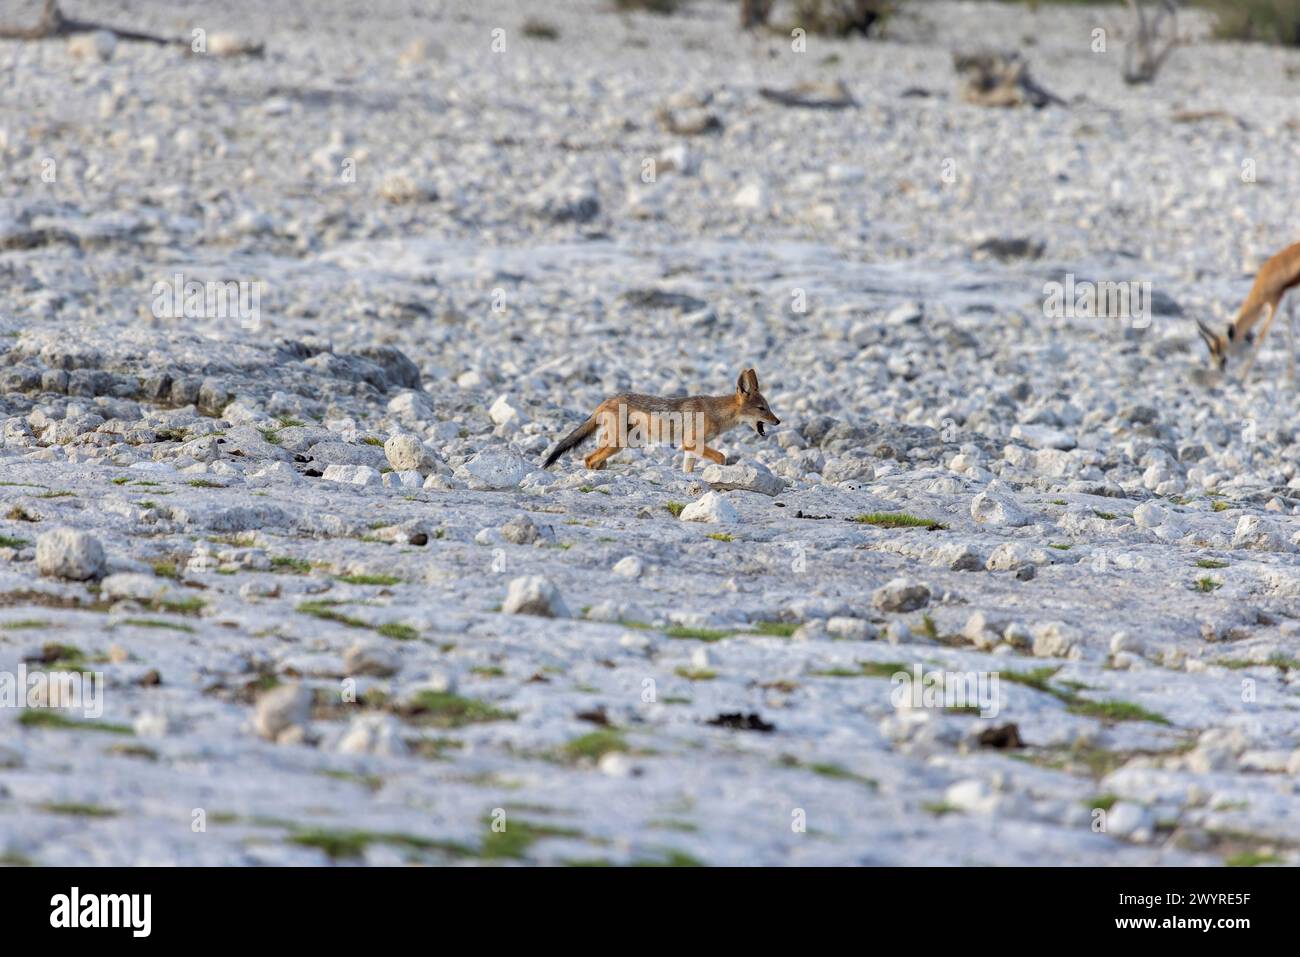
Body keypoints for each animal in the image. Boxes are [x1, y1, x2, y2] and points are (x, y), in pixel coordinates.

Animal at [542, 368, 780, 473]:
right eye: (762, 409)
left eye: (769, 408)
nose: (778, 421)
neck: (716, 412)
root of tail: (606, 400)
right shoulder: (691, 443)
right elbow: (722, 457)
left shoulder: (690, 449)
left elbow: (688, 469)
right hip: (617, 444)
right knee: (589, 459)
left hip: (613, 445)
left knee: (595, 460)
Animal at [1196, 241, 1300, 383]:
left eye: (1223, 358)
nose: (1217, 375)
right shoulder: (1289, 308)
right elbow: (1289, 334)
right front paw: (1291, 378)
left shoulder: (1275, 304)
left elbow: (1261, 337)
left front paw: (1242, 376)